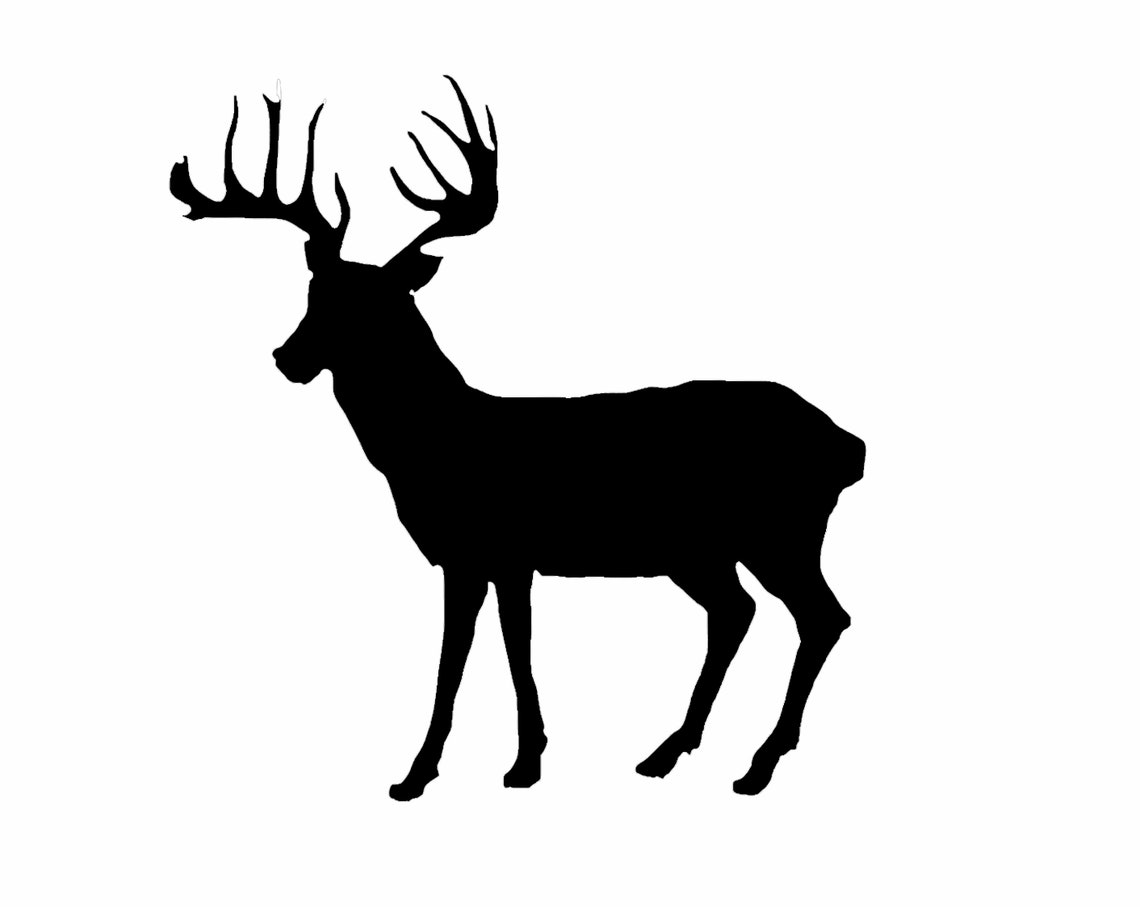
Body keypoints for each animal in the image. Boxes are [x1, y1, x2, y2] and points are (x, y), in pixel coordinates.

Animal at [170, 77, 865, 801]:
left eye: (377, 305)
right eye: (314, 292)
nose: (288, 356)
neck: (438, 444)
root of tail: (849, 446)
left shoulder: (488, 548)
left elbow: (477, 655)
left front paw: (453, 770)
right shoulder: (494, 558)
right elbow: (494, 649)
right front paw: (497, 761)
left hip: (778, 529)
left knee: (821, 616)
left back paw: (758, 762)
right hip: (702, 550)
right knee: (737, 612)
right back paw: (668, 750)